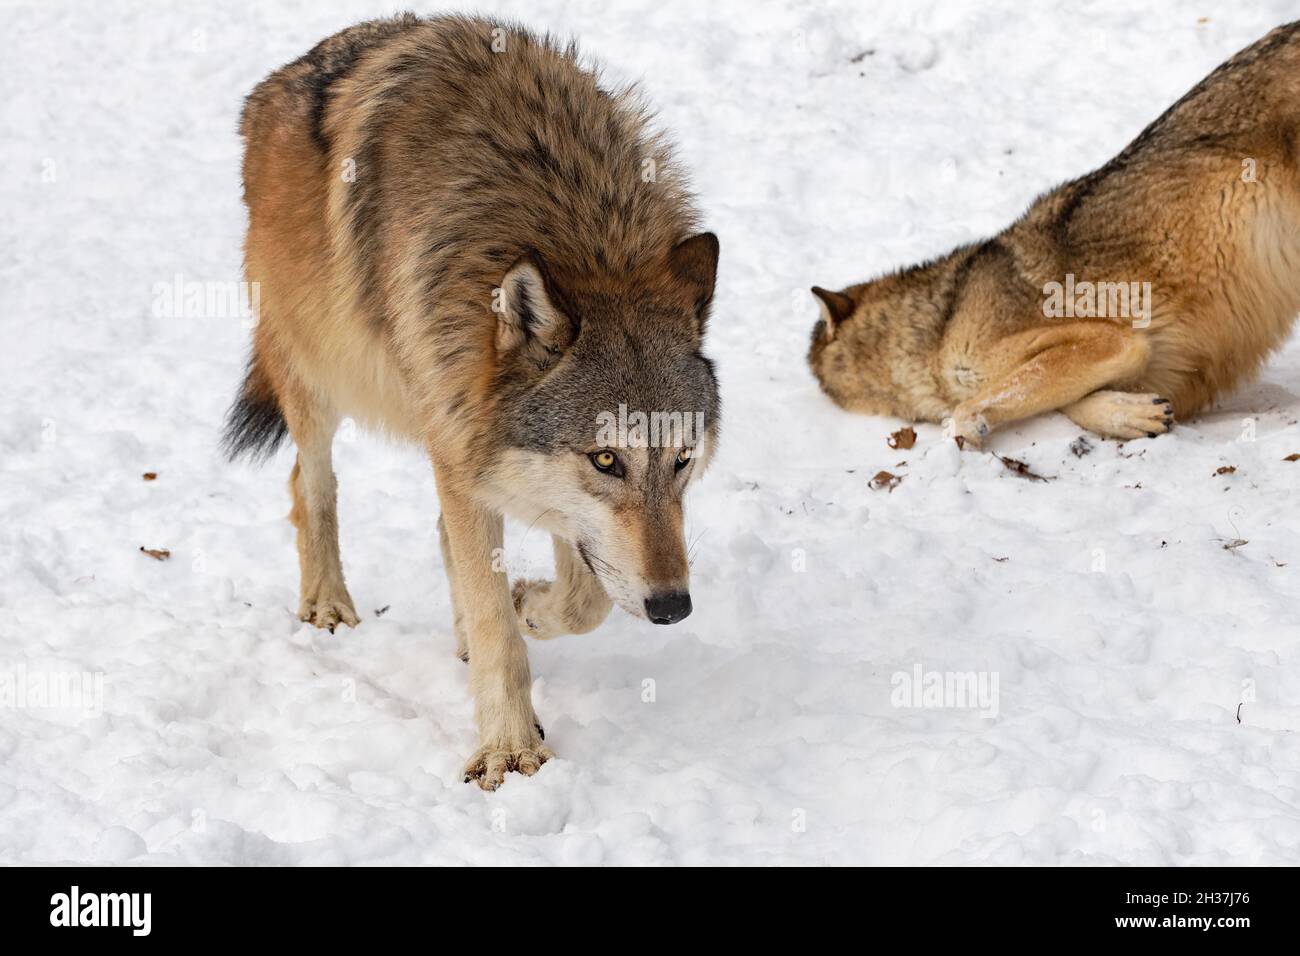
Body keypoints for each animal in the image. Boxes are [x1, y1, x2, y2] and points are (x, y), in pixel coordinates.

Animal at [226, 15, 720, 789]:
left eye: (682, 459)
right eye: (607, 459)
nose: (673, 606)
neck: (577, 233)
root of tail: (272, 85)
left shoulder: (506, 461)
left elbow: (585, 597)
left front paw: (532, 607)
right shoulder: (471, 442)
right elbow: (501, 623)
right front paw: (509, 751)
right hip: (321, 374)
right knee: (311, 482)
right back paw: (328, 604)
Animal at [809, 22, 1300, 447]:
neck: (937, 326)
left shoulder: (1106, 339)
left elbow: (974, 406)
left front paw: (966, 429)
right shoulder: (1121, 354)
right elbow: (1071, 403)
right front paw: (1130, 414)